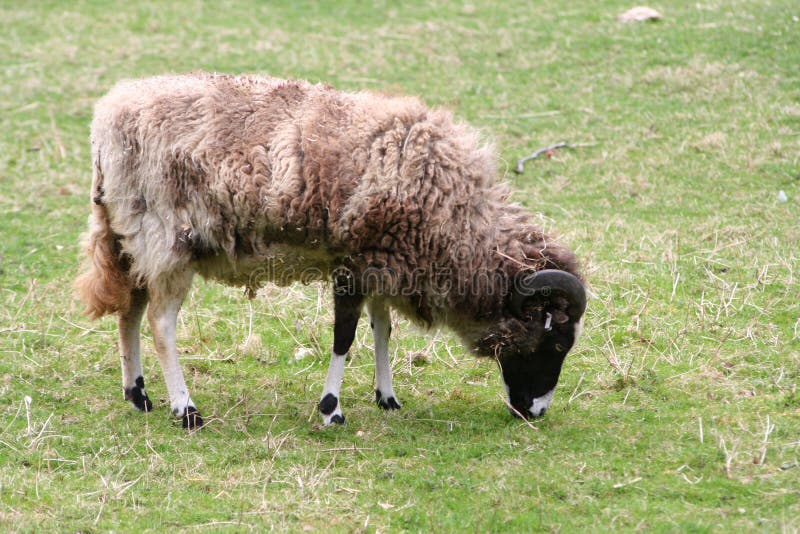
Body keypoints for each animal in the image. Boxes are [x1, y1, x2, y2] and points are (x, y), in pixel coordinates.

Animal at [75, 73, 587, 429]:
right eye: (558, 341)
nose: (535, 413)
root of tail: (107, 121)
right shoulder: (352, 266)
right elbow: (345, 336)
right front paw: (331, 410)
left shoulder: (381, 261)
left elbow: (382, 329)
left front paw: (387, 398)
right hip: (167, 241)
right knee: (160, 324)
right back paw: (186, 411)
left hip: (131, 238)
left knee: (129, 312)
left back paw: (138, 395)